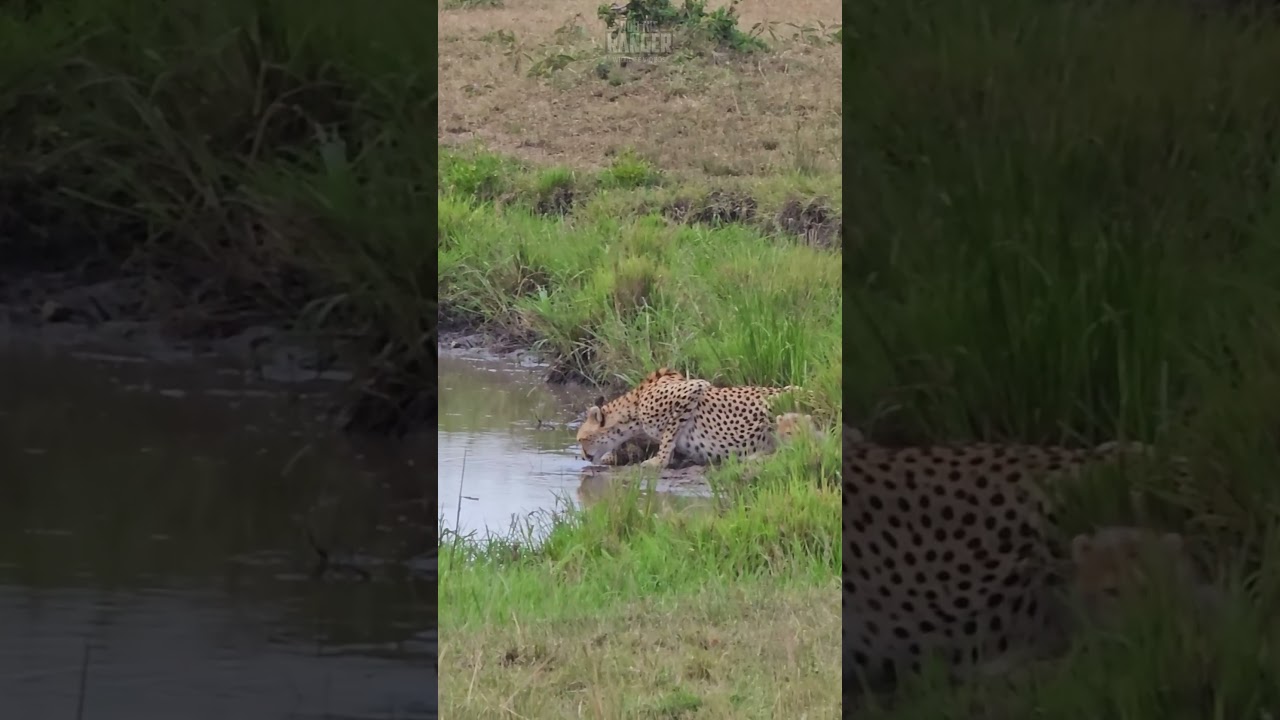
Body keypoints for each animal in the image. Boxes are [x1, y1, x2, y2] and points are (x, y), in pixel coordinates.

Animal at [576, 367, 804, 469]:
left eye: (582, 439)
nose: (584, 456)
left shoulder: (693, 388)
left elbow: (668, 436)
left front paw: (658, 460)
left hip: (779, 401)